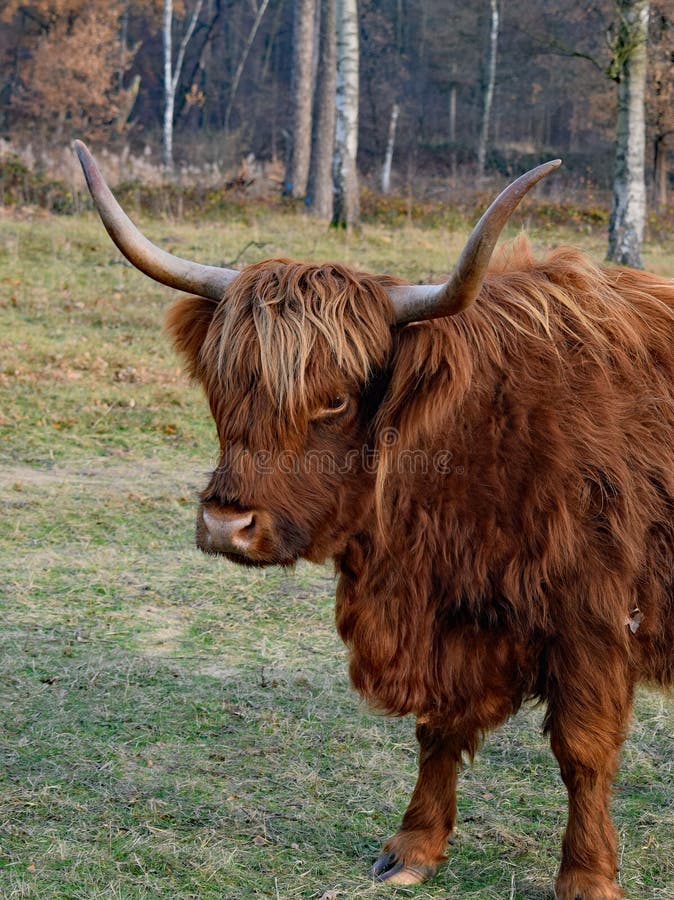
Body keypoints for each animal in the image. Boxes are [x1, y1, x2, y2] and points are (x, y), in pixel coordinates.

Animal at [74, 139, 674, 900]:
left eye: (334, 400)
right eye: (224, 386)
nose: (224, 524)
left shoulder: (592, 618)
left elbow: (583, 750)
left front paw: (588, 875)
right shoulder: (447, 617)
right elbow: (437, 728)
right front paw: (415, 845)